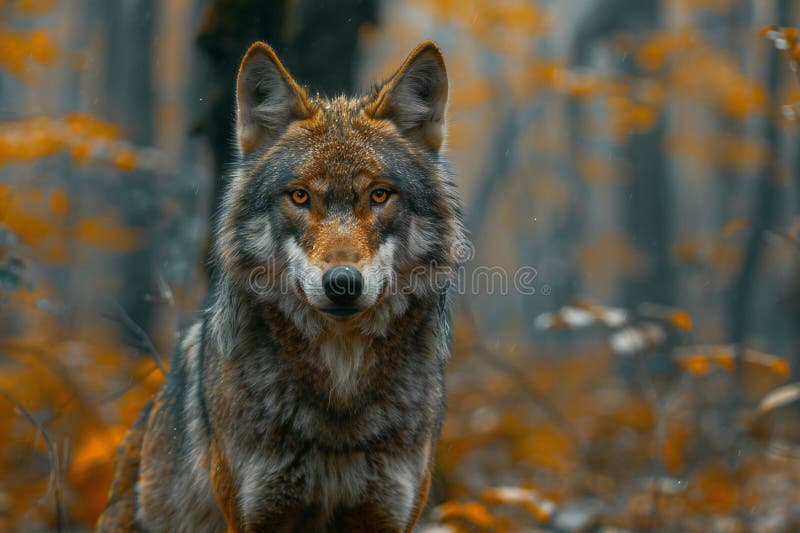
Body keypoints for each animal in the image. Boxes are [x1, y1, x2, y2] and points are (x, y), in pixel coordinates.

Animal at [96, 39, 465, 532]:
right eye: (300, 196)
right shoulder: (258, 515)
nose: (342, 283)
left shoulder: (386, 514)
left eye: (379, 195)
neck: (341, 385)